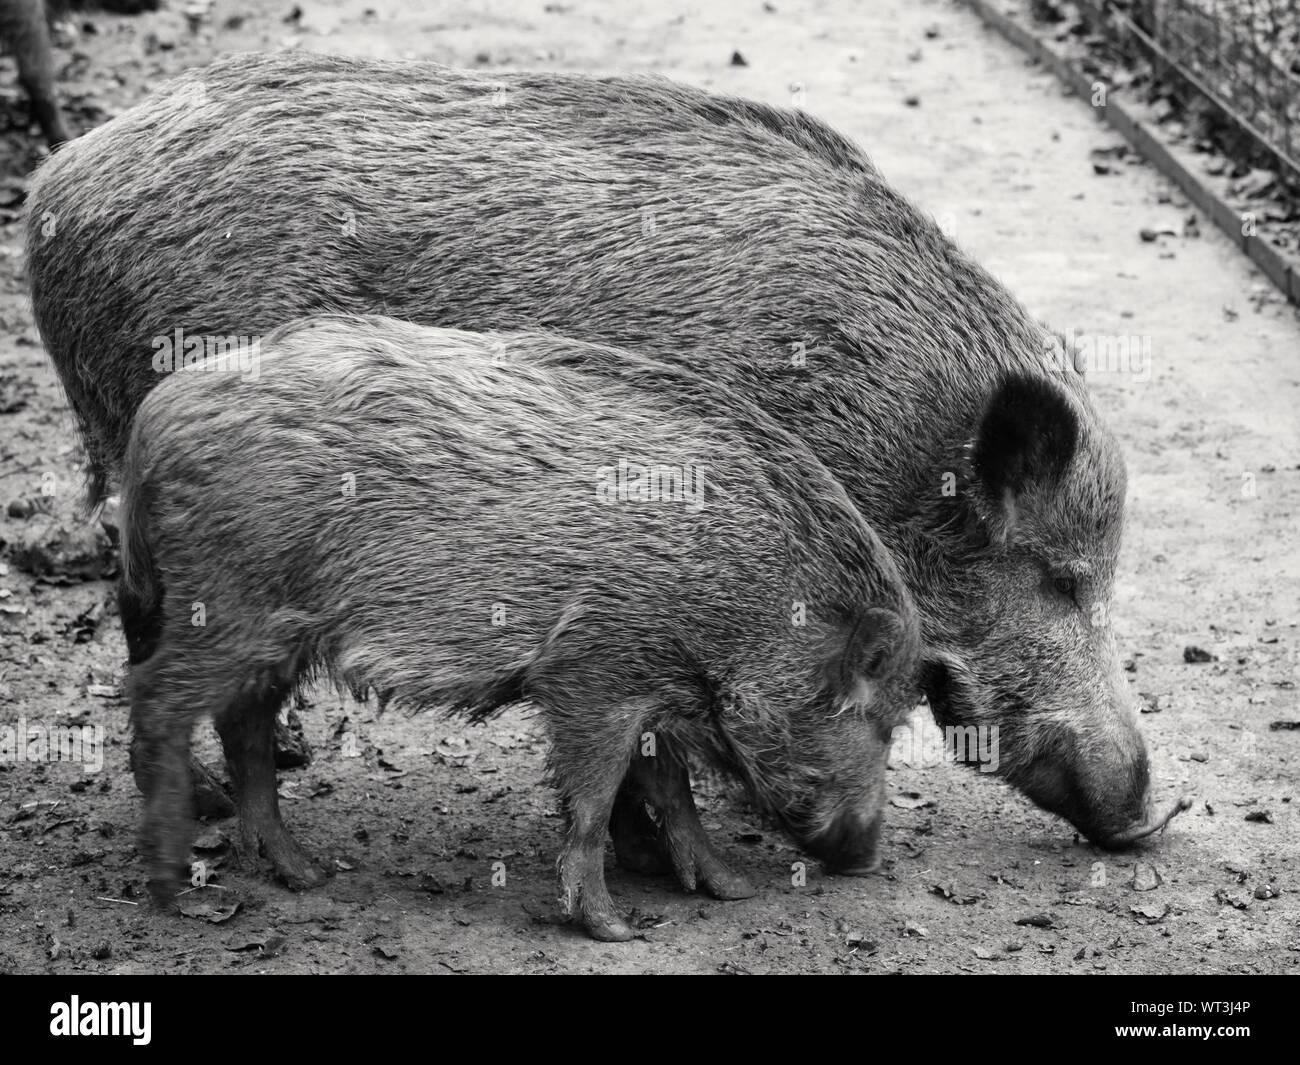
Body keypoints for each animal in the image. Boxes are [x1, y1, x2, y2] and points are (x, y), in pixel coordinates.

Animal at [122, 315, 922, 942]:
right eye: (879, 719)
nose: (868, 857)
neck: (749, 593)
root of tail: (153, 415)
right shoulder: (593, 672)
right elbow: (595, 799)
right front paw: (614, 929)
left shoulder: (653, 682)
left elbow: (672, 791)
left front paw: (731, 888)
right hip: (221, 601)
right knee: (156, 700)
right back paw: (174, 890)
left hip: (277, 632)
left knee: (243, 722)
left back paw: (305, 875)